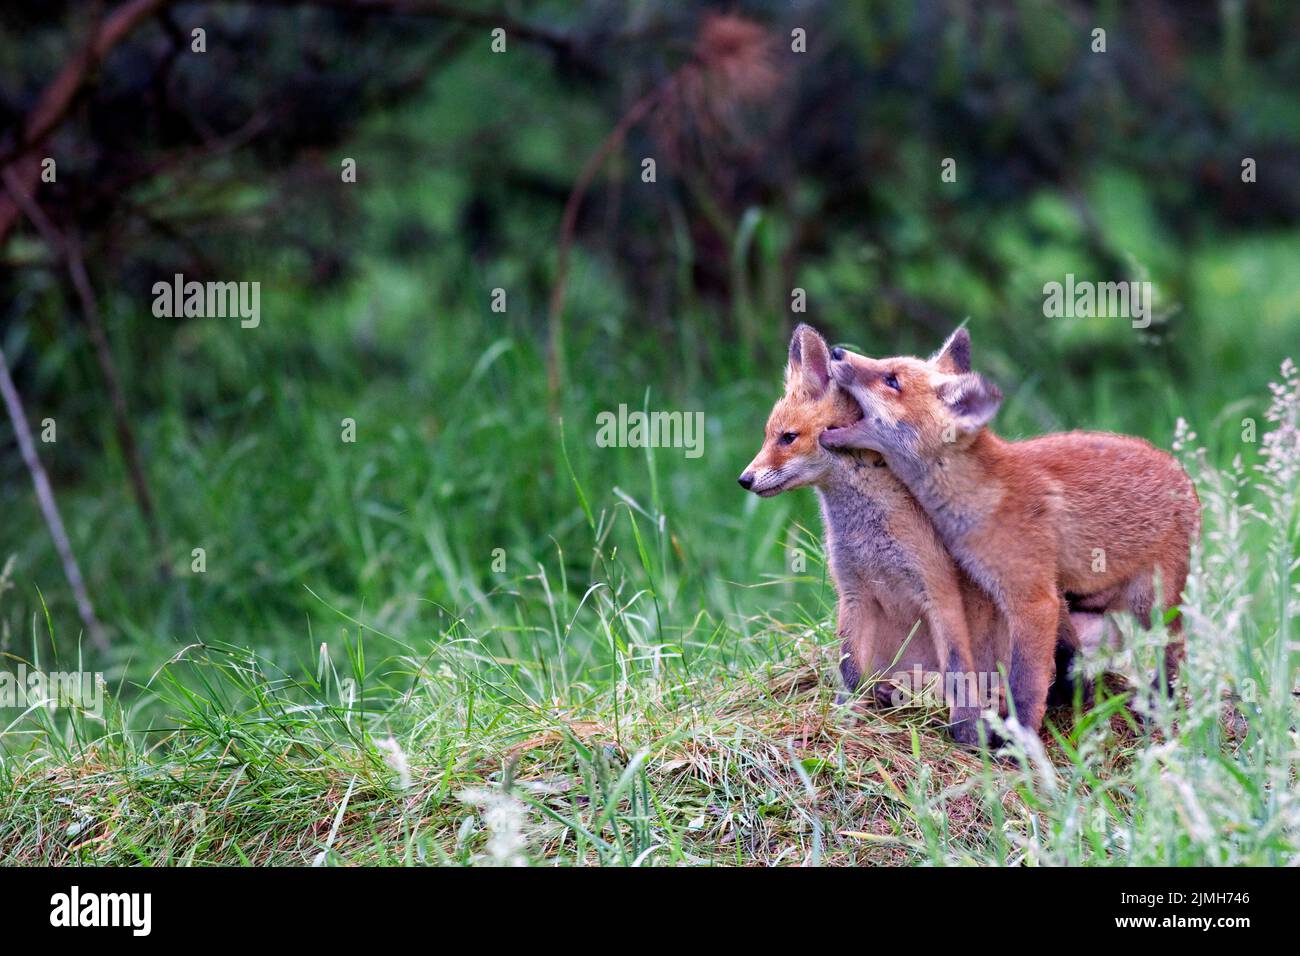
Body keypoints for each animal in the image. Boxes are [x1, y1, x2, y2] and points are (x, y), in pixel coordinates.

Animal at [739, 325, 1096, 744]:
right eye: (768, 436)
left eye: (788, 438)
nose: (744, 480)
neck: (869, 537)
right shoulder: (853, 594)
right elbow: (850, 670)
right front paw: (845, 719)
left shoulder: (939, 592)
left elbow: (958, 667)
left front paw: (968, 731)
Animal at [820, 328, 1201, 733]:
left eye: (891, 380)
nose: (837, 351)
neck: (984, 495)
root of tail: (1179, 468)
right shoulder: (1039, 594)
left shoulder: (1033, 600)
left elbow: (1026, 681)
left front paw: (1019, 735)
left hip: (1151, 603)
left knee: (1174, 651)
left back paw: (1161, 705)